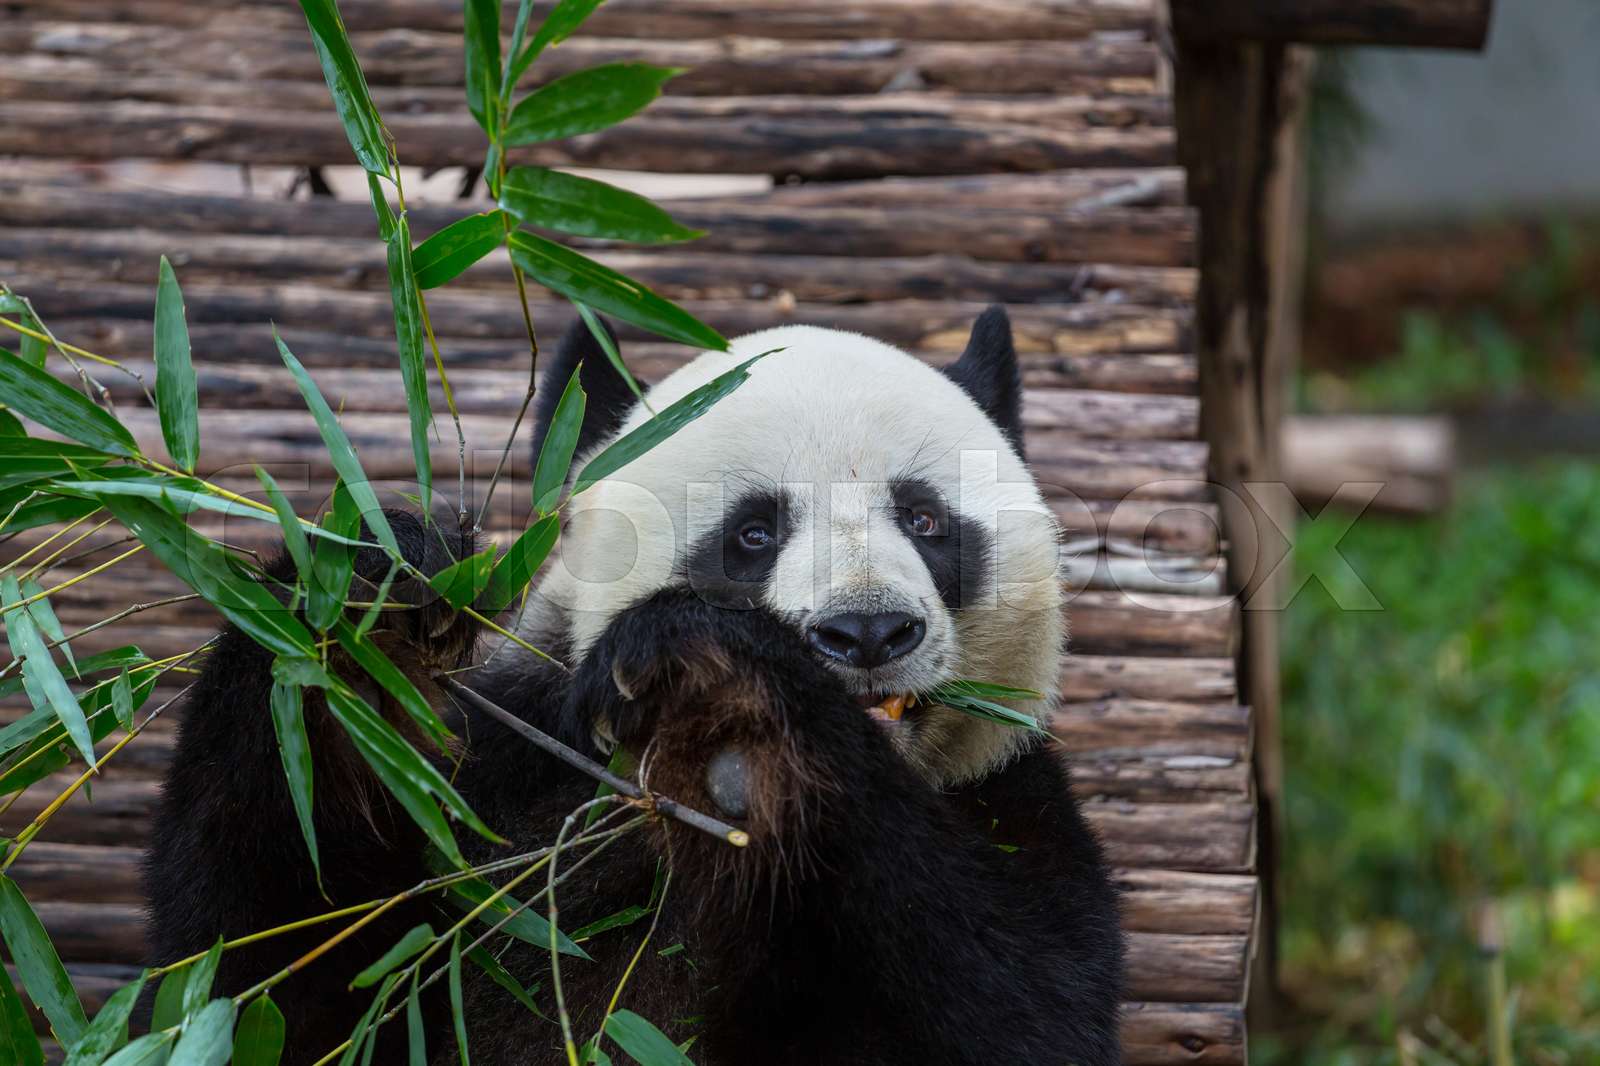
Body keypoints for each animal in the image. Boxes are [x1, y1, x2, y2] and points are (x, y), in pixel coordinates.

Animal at [144, 308, 1124, 1065]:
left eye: (924, 520)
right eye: (754, 533)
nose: (869, 631)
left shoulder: (1007, 802)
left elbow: (1023, 1006)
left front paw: (726, 689)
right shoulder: (499, 786)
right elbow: (263, 972)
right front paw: (364, 613)